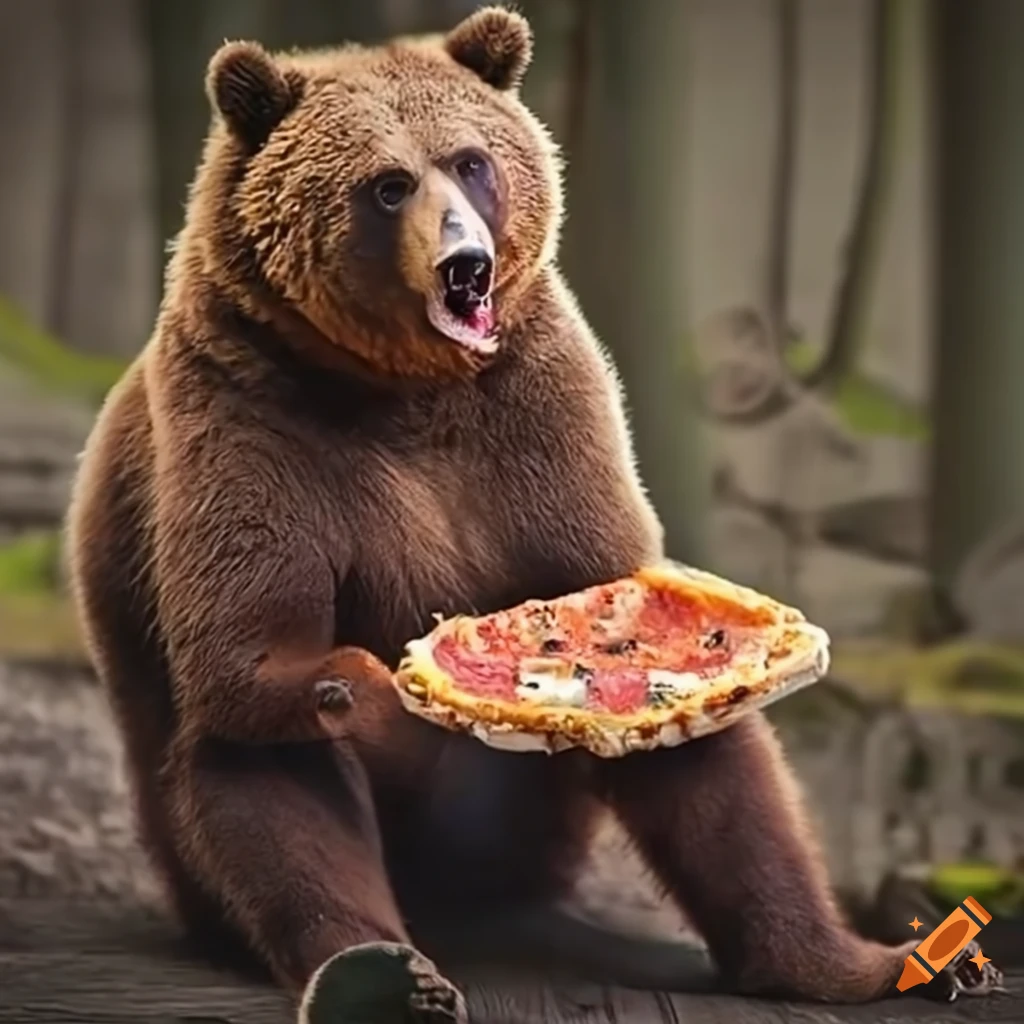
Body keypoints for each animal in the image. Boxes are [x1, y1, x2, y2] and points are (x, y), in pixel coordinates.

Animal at [64, 6, 1001, 1021]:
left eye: (472, 160)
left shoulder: (541, 420)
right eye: (388, 185)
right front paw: (395, 705)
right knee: (257, 786)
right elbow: (254, 656)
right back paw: (379, 971)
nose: (465, 262)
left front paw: (852, 954)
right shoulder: (251, 419)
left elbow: (700, 745)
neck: (401, 387)